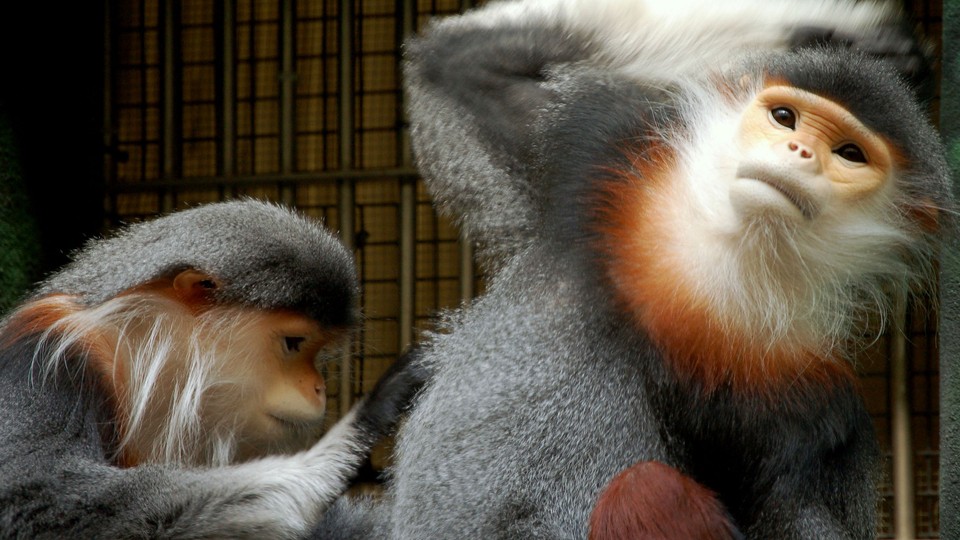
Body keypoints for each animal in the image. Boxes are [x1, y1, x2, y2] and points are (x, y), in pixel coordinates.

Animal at [313, 0, 955, 538]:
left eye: (849, 154)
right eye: (784, 118)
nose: (799, 153)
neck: (728, 260)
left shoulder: (822, 411)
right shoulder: (598, 150)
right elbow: (466, 67)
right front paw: (849, 36)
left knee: (648, 488)